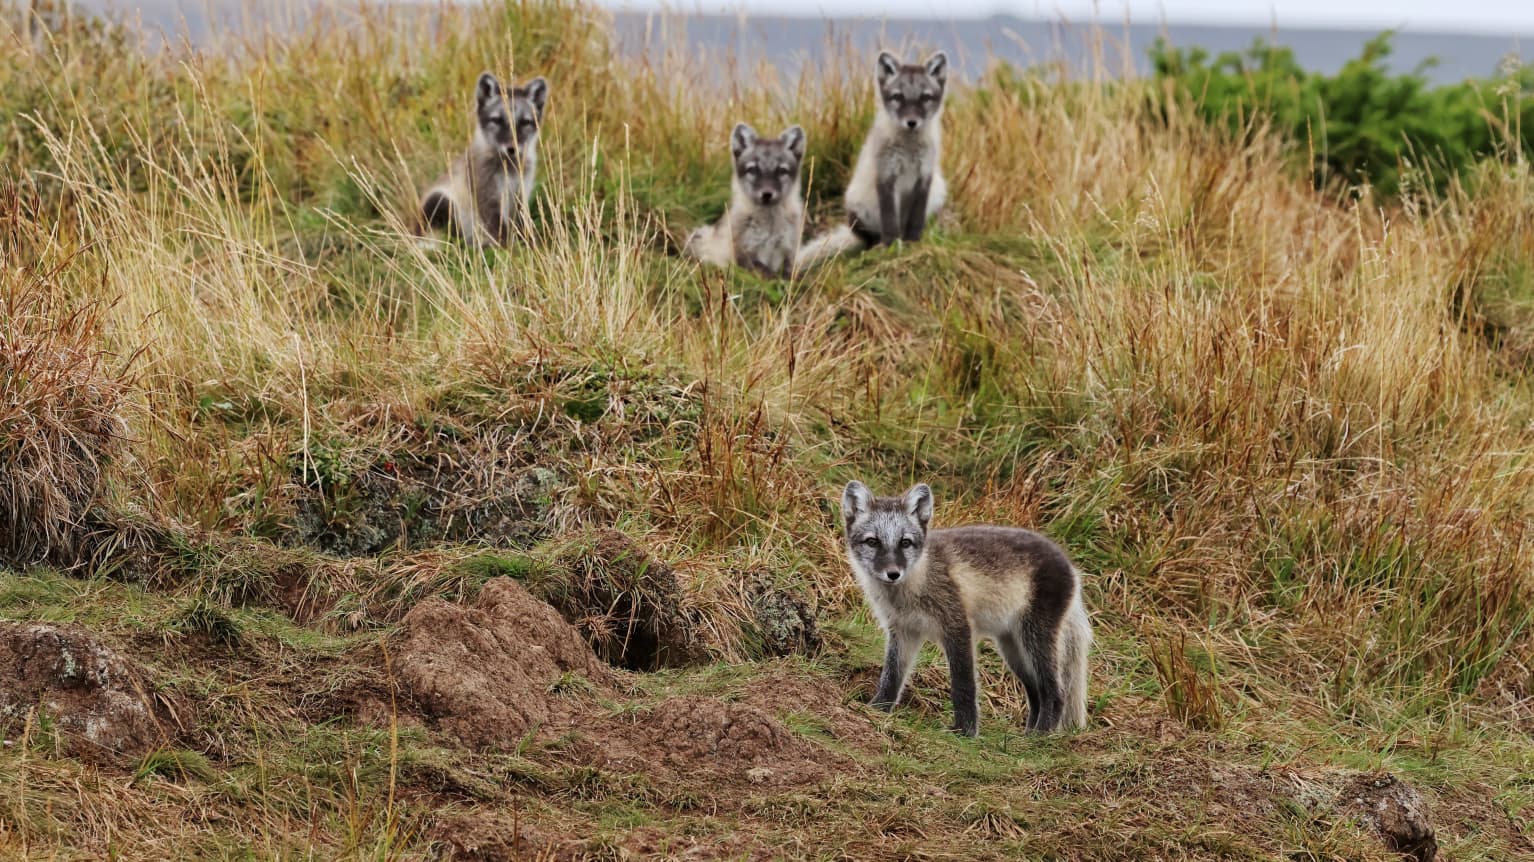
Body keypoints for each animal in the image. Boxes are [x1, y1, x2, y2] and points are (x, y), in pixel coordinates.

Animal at [419, 71, 548, 247]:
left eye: (525, 122)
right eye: (497, 120)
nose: (512, 149)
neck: (510, 168)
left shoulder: (521, 193)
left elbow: (523, 224)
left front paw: (531, 244)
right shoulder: (487, 195)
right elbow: (500, 230)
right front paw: (510, 250)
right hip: (441, 201)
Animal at [685, 123, 807, 278]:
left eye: (782, 170)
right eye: (753, 169)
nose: (767, 194)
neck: (769, 226)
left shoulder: (788, 252)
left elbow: (785, 275)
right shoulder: (744, 254)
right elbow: (762, 271)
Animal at [796, 50, 949, 270]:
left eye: (925, 97)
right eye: (898, 97)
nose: (911, 122)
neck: (909, 149)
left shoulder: (924, 177)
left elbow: (916, 220)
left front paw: (913, 243)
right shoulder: (886, 175)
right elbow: (890, 221)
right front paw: (892, 247)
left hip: (938, 192)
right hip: (858, 206)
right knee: (869, 239)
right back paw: (877, 243)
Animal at [840, 480, 1092, 736]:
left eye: (905, 542)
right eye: (872, 542)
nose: (893, 574)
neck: (917, 581)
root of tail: (1071, 567)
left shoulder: (957, 625)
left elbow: (963, 685)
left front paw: (965, 730)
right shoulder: (903, 631)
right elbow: (891, 676)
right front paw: (877, 709)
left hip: (1035, 638)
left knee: (1055, 692)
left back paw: (1041, 735)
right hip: (1012, 648)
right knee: (1036, 692)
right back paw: (1027, 734)